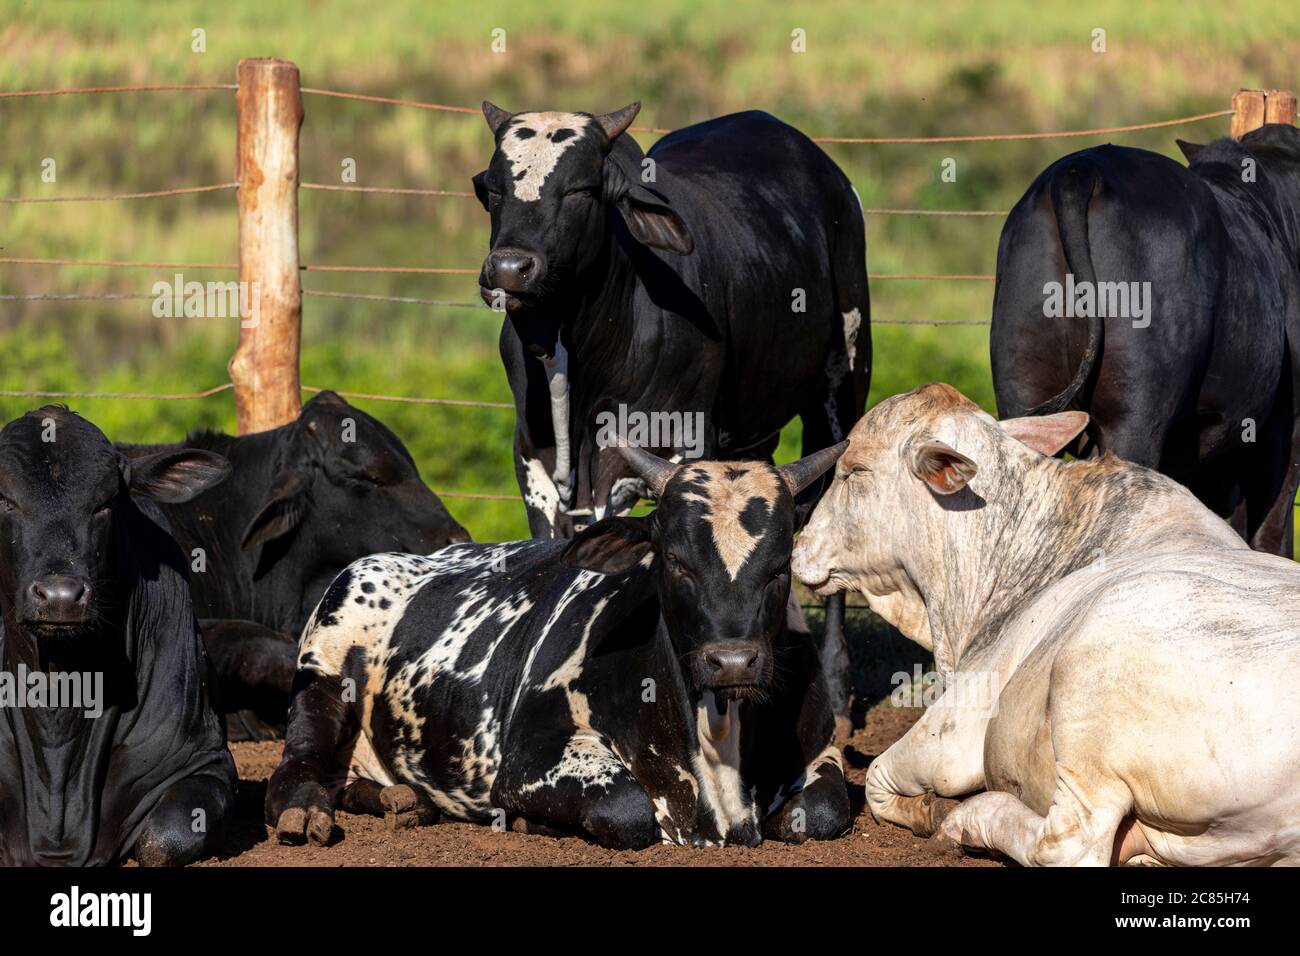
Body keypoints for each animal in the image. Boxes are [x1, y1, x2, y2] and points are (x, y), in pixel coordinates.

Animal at [266, 443, 850, 850]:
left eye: (780, 565)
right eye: (675, 559)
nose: (732, 662)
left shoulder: (823, 747)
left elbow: (824, 812)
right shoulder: (529, 759)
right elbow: (627, 810)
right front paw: (530, 822)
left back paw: (401, 800)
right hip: (323, 668)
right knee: (300, 760)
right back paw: (305, 811)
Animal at [473, 101, 870, 731]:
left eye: (580, 188)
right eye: (492, 188)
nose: (510, 269)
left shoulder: (666, 451)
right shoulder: (534, 462)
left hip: (843, 381)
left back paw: (834, 689)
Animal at [792, 383, 1300, 866]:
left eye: (854, 470)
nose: (797, 547)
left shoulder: (958, 725)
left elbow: (878, 778)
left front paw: (930, 809)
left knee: (1068, 844)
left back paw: (970, 820)